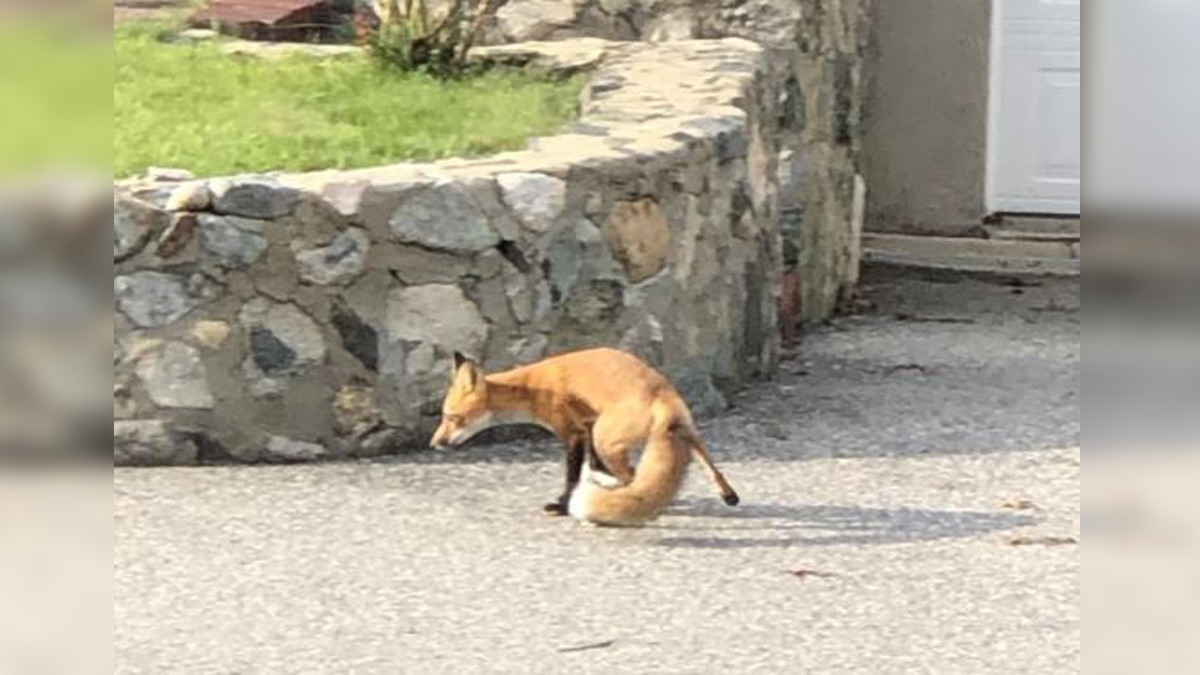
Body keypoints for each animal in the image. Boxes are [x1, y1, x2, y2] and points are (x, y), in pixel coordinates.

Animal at [430, 347, 739, 524]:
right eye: (444, 417)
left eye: (452, 418)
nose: (434, 444)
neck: (531, 389)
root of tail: (660, 392)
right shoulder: (588, 426)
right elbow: (591, 464)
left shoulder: (573, 432)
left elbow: (572, 475)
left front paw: (562, 505)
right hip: (682, 431)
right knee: (709, 465)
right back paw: (728, 495)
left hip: (607, 439)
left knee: (631, 478)